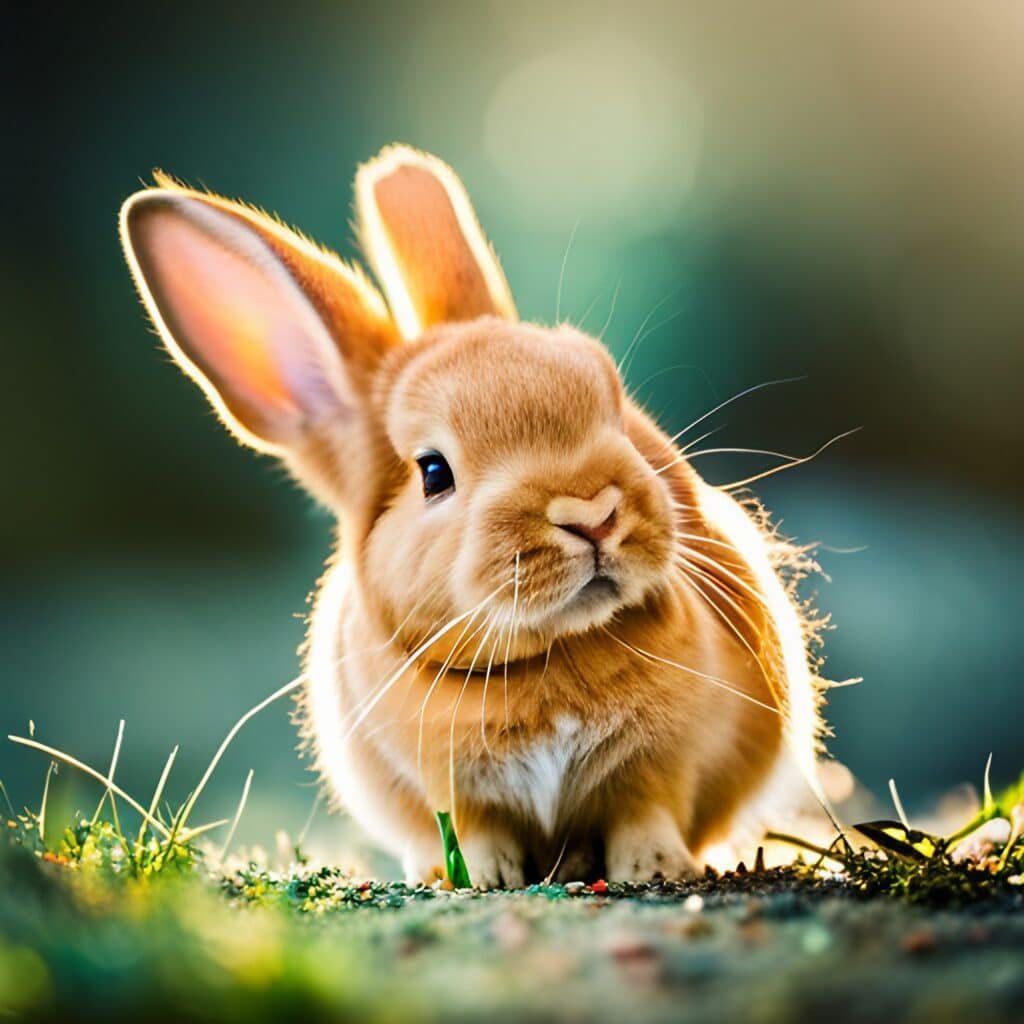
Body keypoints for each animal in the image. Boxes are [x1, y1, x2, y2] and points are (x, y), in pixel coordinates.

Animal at [119, 145, 831, 887]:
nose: (593, 513)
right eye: (434, 471)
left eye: (616, 404)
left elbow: (647, 811)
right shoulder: (449, 787)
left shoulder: (661, 765)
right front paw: (485, 879)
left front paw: (656, 869)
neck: (552, 654)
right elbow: (477, 829)